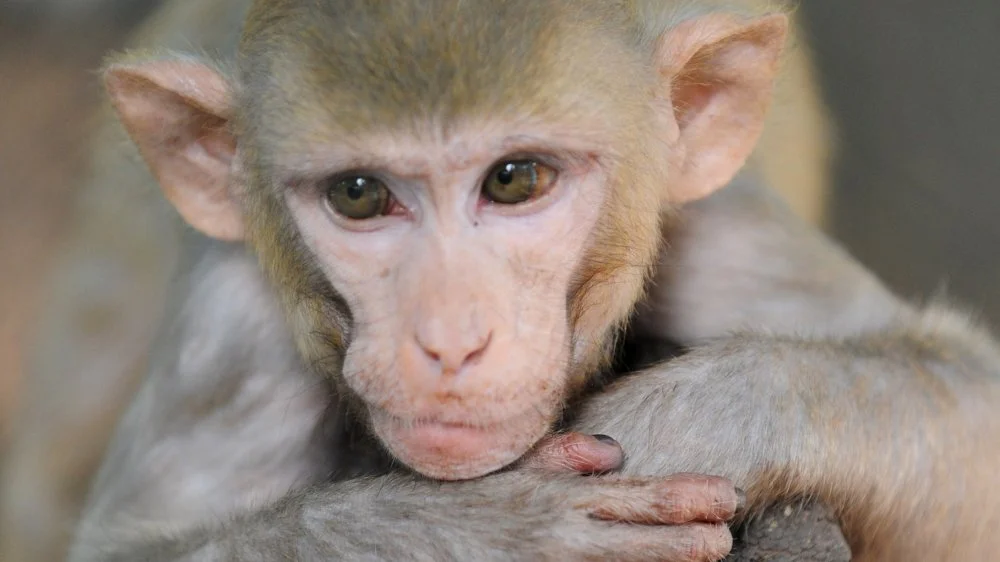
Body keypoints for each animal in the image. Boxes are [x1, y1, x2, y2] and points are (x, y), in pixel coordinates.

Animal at [6, 0, 998, 561]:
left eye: (516, 180)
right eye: (359, 196)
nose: (450, 341)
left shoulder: (713, 222)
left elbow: (969, 399)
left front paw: (655, 430)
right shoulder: (236, 307)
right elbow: (123, 551)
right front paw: (502, 525)